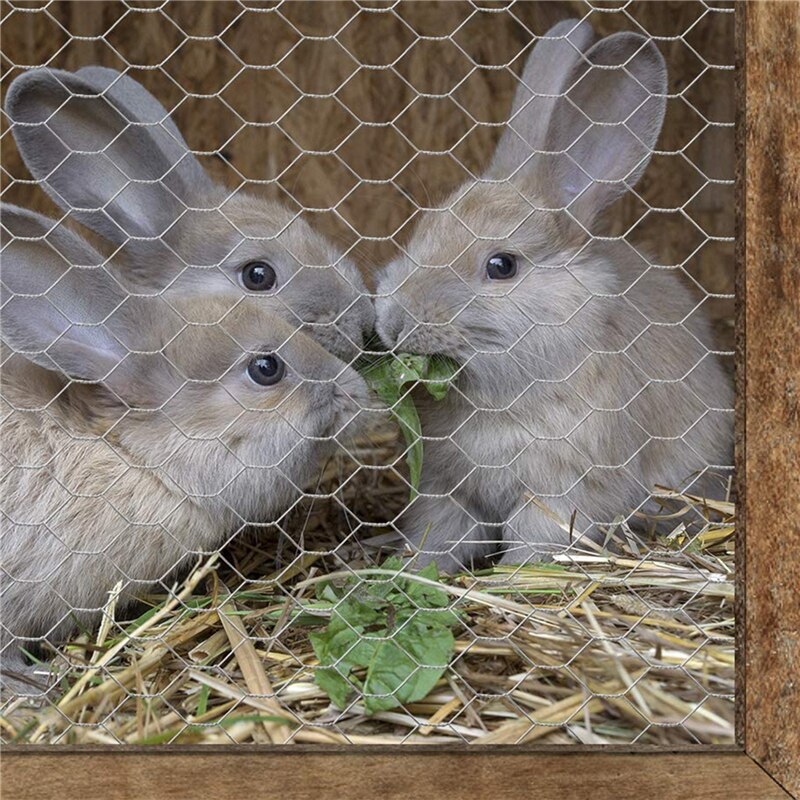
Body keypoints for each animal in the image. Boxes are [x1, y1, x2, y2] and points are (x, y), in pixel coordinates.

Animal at [374, 20, 734, 572]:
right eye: (423, 232)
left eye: (501, 266)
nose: (393, 322)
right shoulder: (446, 491)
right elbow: (438, 536)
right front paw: (414, 571)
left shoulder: (558, 494)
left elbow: (535, 541)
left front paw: (513, 575)